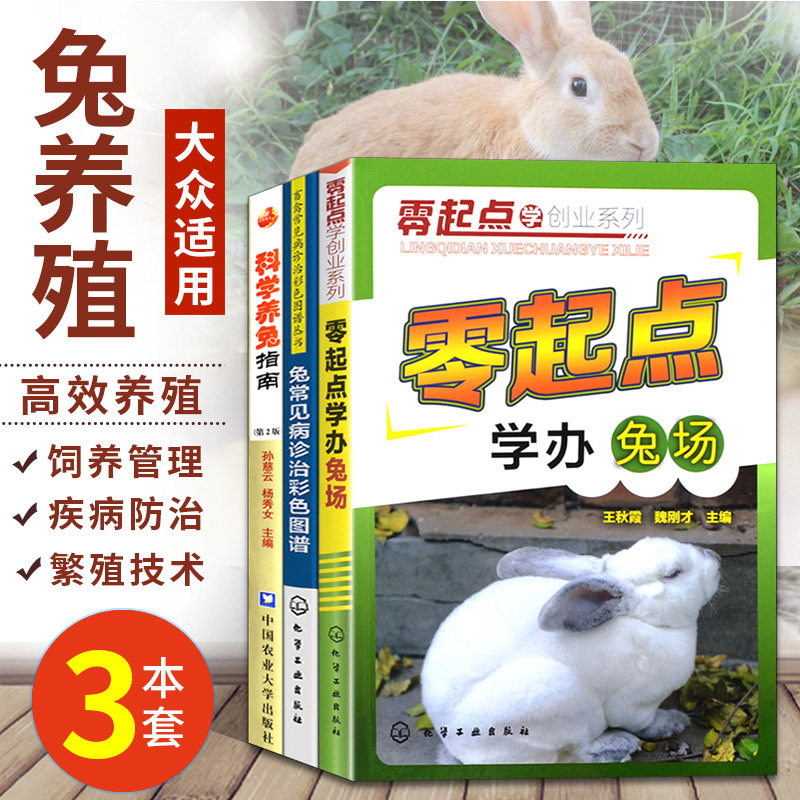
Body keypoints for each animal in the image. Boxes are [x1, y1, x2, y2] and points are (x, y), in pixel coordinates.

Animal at [420, 537, 720, 764]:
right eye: (674, 574)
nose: (716, 559)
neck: (643, 620)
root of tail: (452, 740)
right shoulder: (634, 703)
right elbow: (643, 722)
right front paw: (671, 722)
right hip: (554, 699)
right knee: (576, 751)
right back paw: (616, 745)